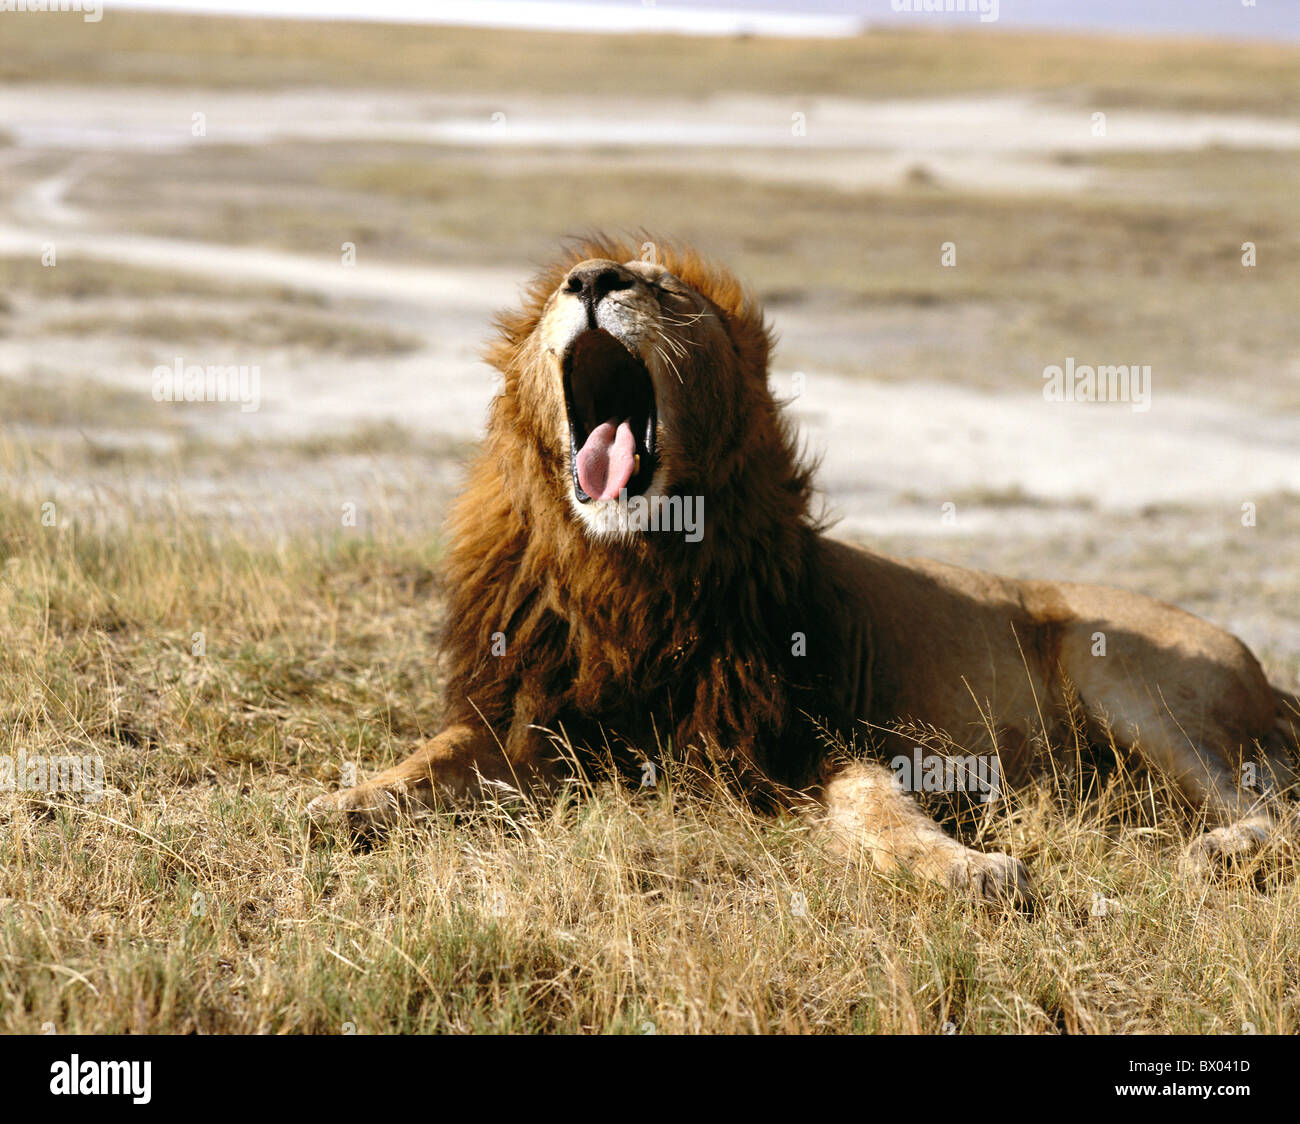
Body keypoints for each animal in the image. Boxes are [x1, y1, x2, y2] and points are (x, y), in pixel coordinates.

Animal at [307, 236, 1298, 905]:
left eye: (659, 289)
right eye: (561, 289)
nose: (590, 281)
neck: (625, 575)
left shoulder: (795, 741)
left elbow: (869, 800)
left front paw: (967, 869)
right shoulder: (534, 723)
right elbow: (431, 757)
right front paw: (339, 804)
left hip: (1126, 674)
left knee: (1270, 808)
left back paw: (1217, 851)